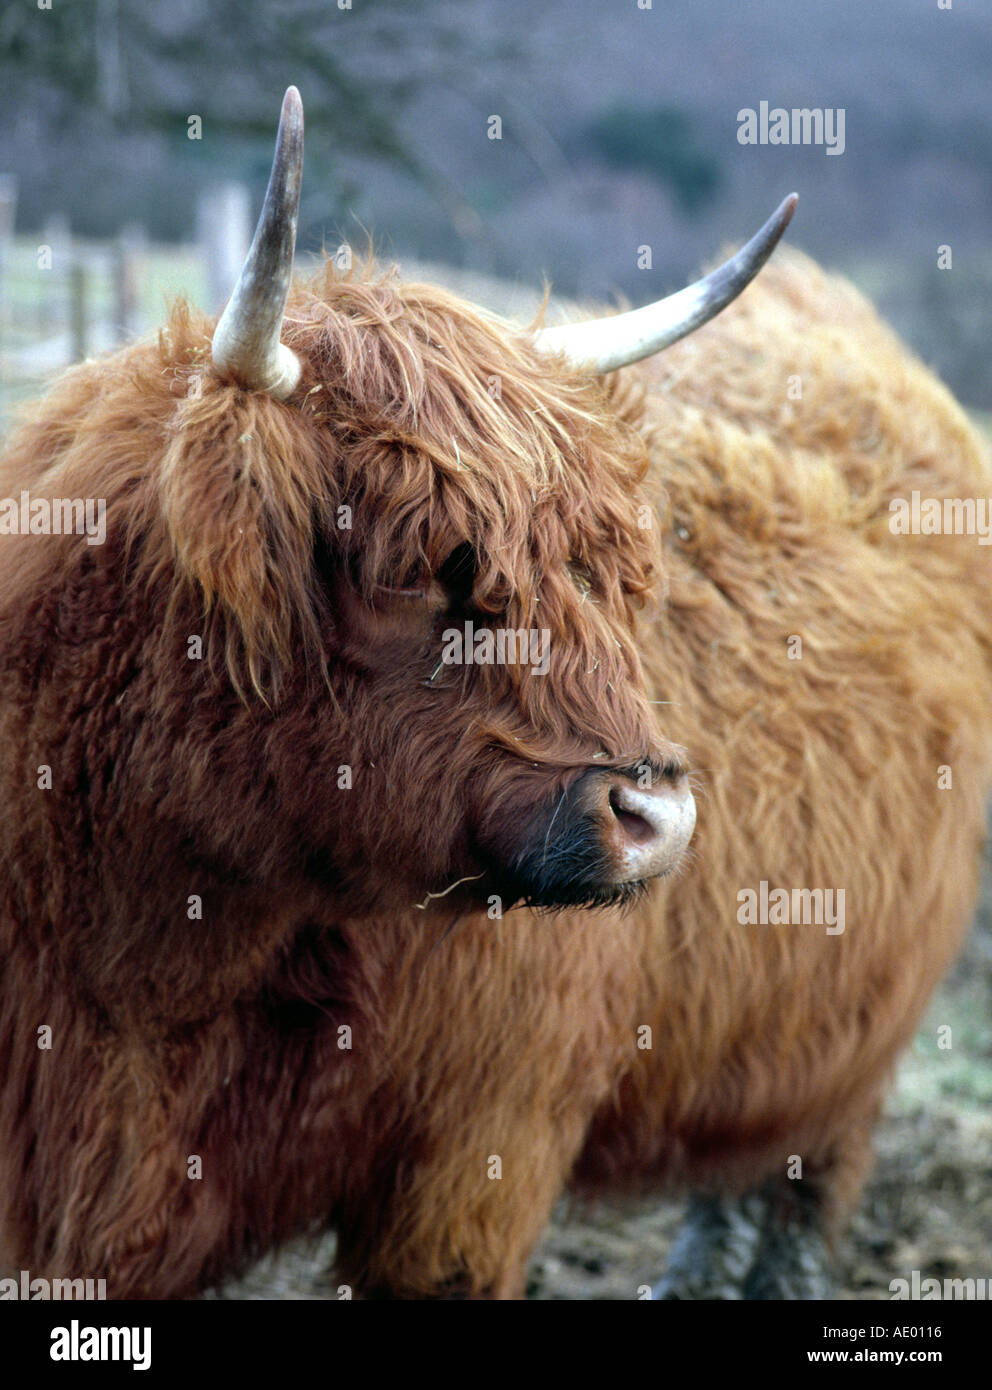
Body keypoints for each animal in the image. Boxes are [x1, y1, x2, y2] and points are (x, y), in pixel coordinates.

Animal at [1, 87, 989, 1300]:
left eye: (603, 570)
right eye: (414, 566)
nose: (659, 819)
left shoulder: (476, 1155)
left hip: (863, 1013)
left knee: (808, 1167)